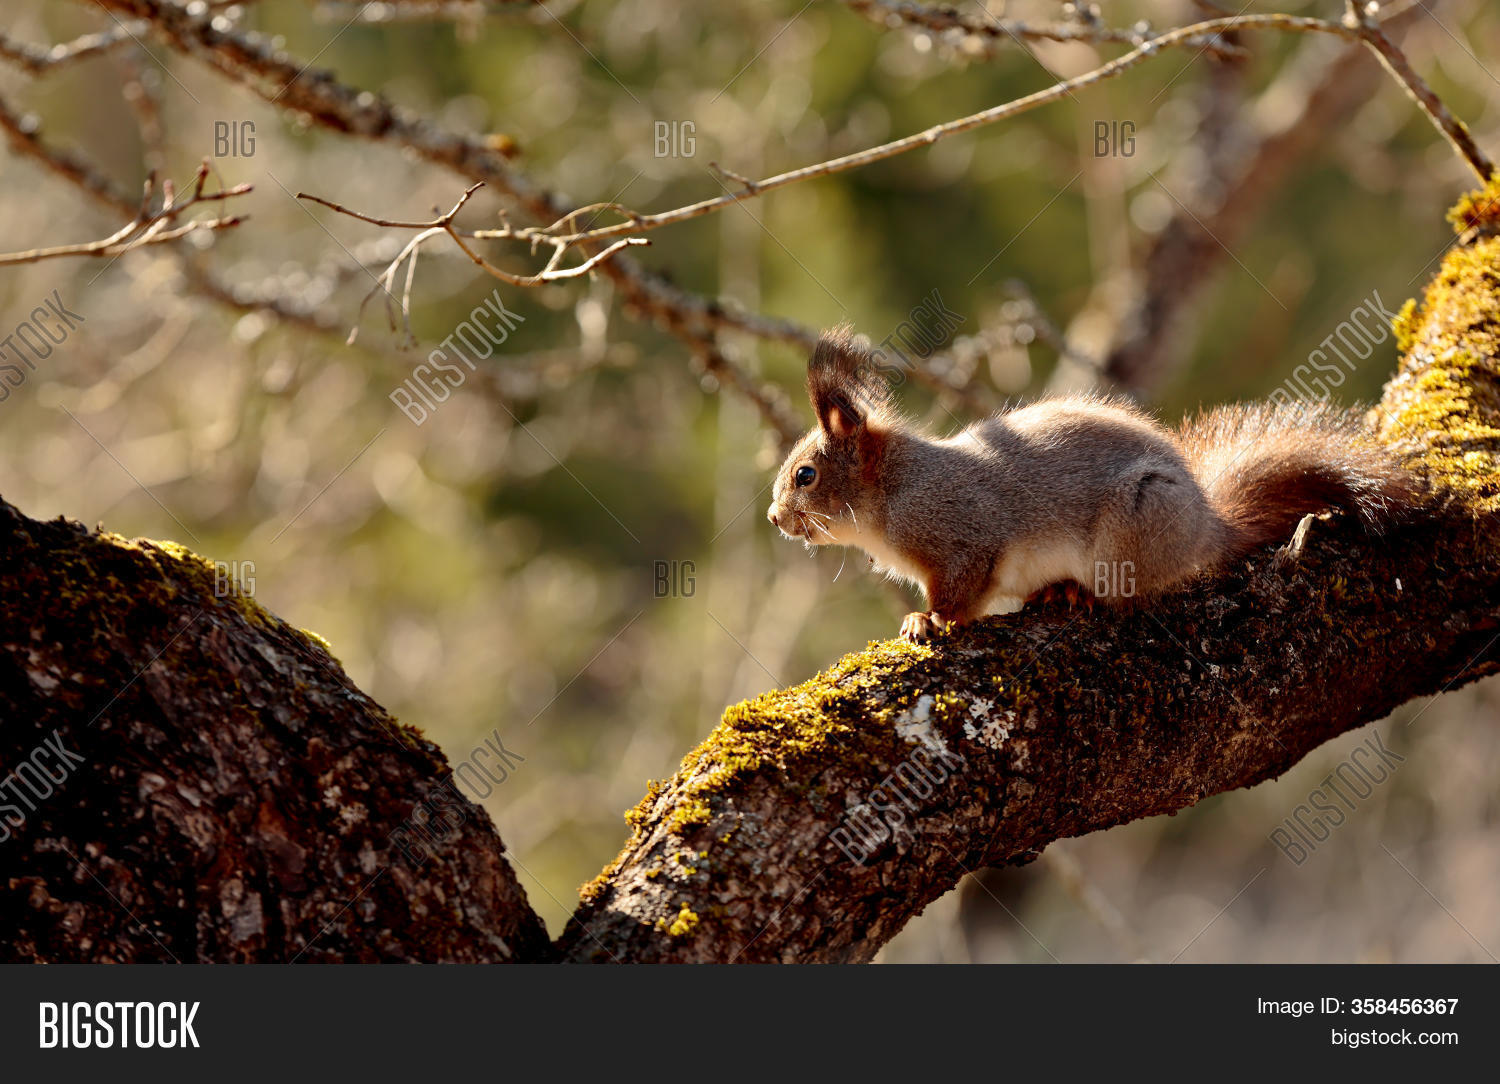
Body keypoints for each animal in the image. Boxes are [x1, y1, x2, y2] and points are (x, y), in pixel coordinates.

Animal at [767, 324, 1422, 642]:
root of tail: (1205, 531)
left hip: (1135, 525)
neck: (894, 491)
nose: (775, 519)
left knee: (1126, 595)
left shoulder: (962, 536)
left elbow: (960, 594)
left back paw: (1080, 594)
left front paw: (927, 621)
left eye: (805, 475)